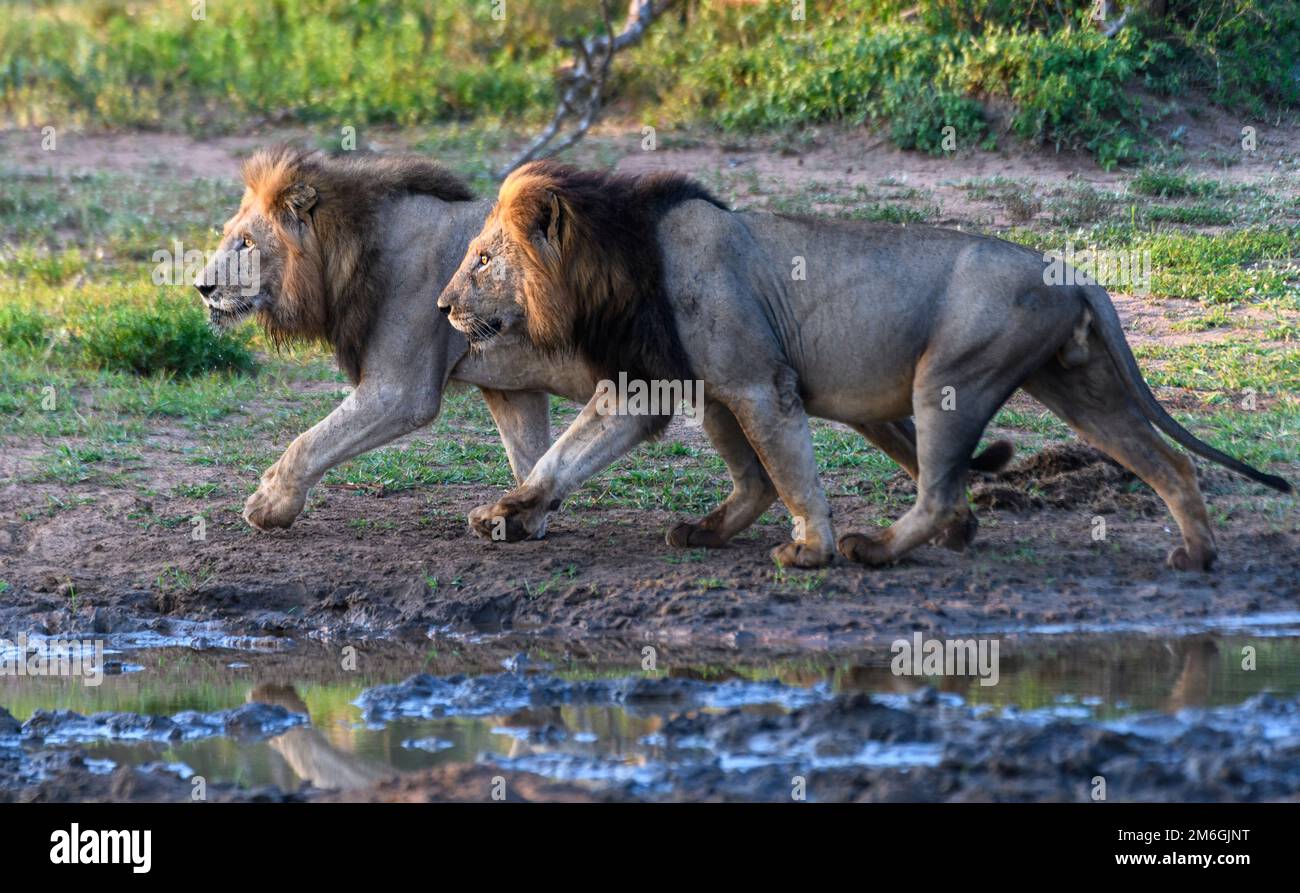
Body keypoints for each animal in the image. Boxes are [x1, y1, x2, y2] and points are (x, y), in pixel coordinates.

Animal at [197, 148, 977, 536]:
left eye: (246, 243)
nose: (201, 287)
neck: (355, 248)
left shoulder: (400, 386)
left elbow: (310, 442)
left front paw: (269, 505)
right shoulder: (509, 389)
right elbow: (534, 452)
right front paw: (529, 516)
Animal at [436, 161, 1291, 571]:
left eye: (481, 259)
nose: (442, 305)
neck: (614, 259)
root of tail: (1072, 272)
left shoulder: (756, 381)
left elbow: (787, 471)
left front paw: (809, 548)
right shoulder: (678, 382)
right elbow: (569, 455)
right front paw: (511, 510)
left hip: (951, 378)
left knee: (942, 491)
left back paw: (873, 549)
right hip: (1075, 386)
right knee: (1167, 461)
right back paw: (1196, 552)